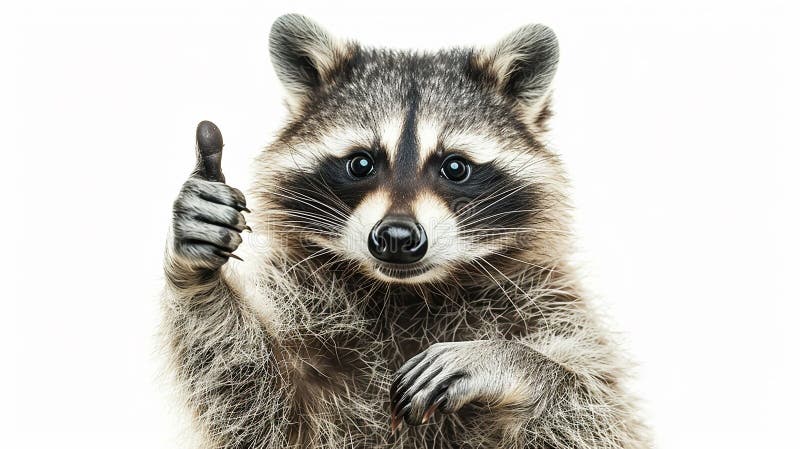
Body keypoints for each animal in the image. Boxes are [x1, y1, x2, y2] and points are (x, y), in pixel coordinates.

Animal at [163, 14, 651, 449]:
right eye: (361, 163)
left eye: (455, 167)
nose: (397, 237)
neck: (409, 293)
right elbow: (264, 412)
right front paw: (197, 273)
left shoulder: (553, 302)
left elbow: (599, 416)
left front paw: (513, 361)